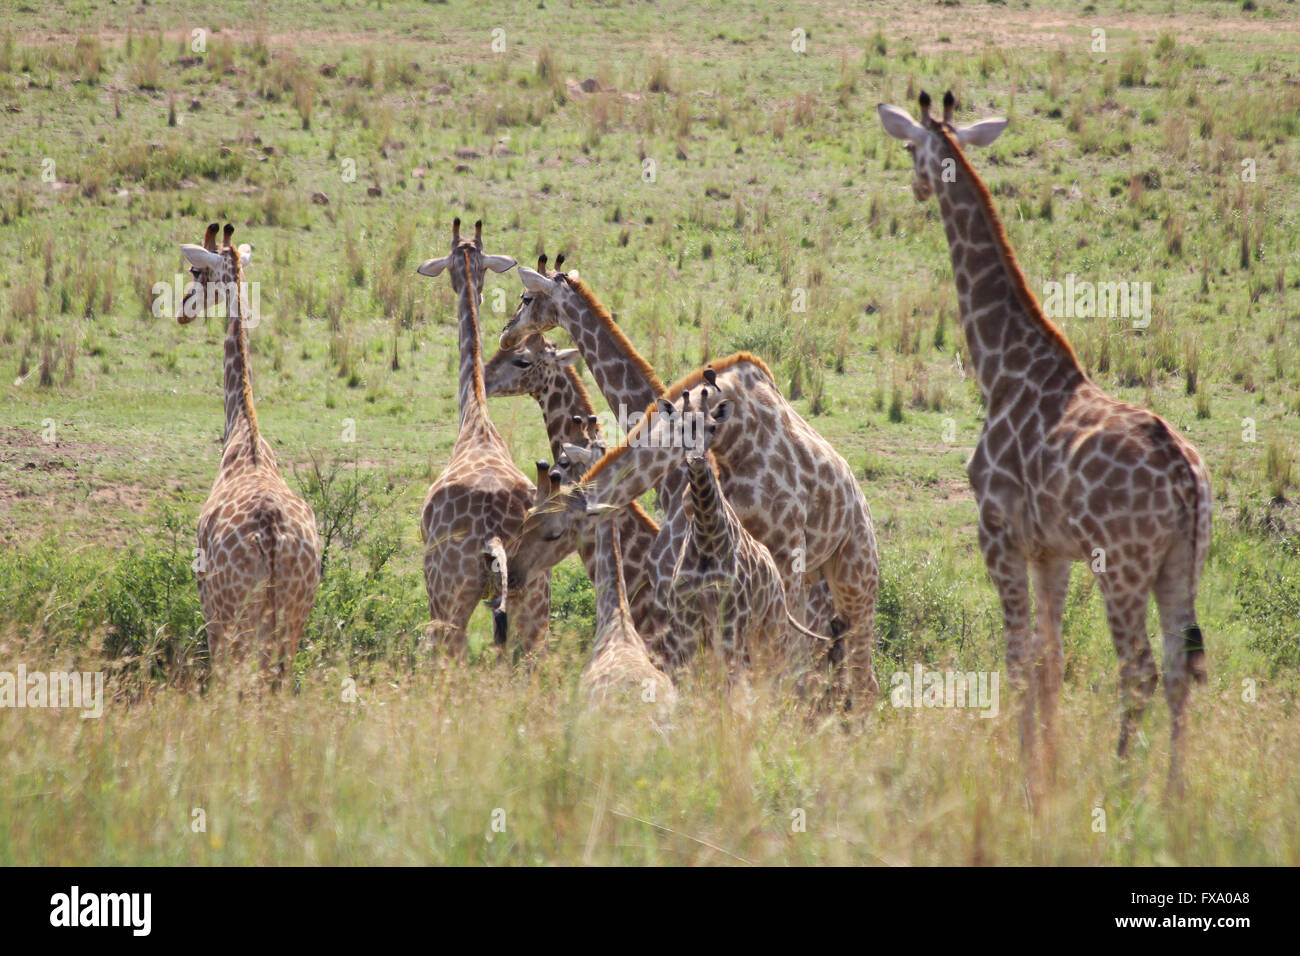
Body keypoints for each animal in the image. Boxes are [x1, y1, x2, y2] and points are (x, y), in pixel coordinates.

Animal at [177, 222, 321, 681]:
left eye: (196, 270)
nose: (183, 309)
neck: (244, 431)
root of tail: (272, 537)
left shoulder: (206, 597)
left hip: (232, 611)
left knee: (231, 678)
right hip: (294, 613)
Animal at [877, 91, 1211, 791]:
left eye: (909, 146)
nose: (916, 186)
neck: (1000, 368)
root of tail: (1185, 478)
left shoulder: (997, 533)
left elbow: (1014, 656)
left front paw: (1020, 770)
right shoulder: (1050, 552)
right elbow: (1050, 661)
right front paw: (1047, 768)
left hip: (1122, 564)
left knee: (1139, 670)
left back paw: (1121, 782)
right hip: (1181, 561)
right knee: (1179, 670)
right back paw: (1172, 791)